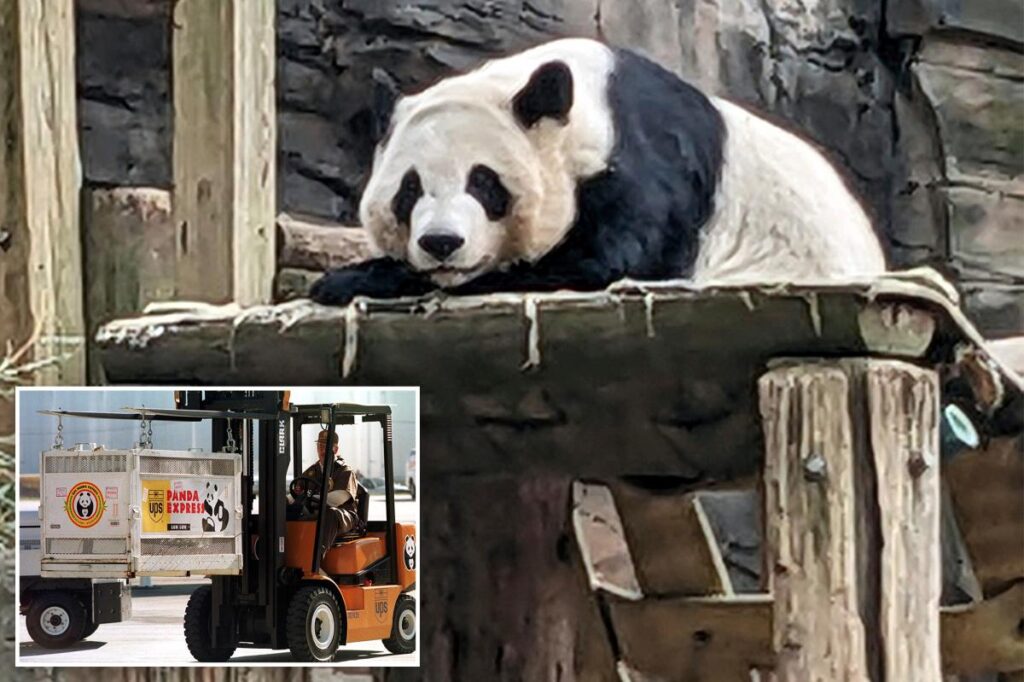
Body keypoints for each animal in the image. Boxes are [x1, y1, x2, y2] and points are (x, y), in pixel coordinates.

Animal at [310, 38, 885, 305]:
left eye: (484, 183)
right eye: (409, 190)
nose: (442, 243)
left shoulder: (646, 168)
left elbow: (597, 263)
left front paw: (353, 278)